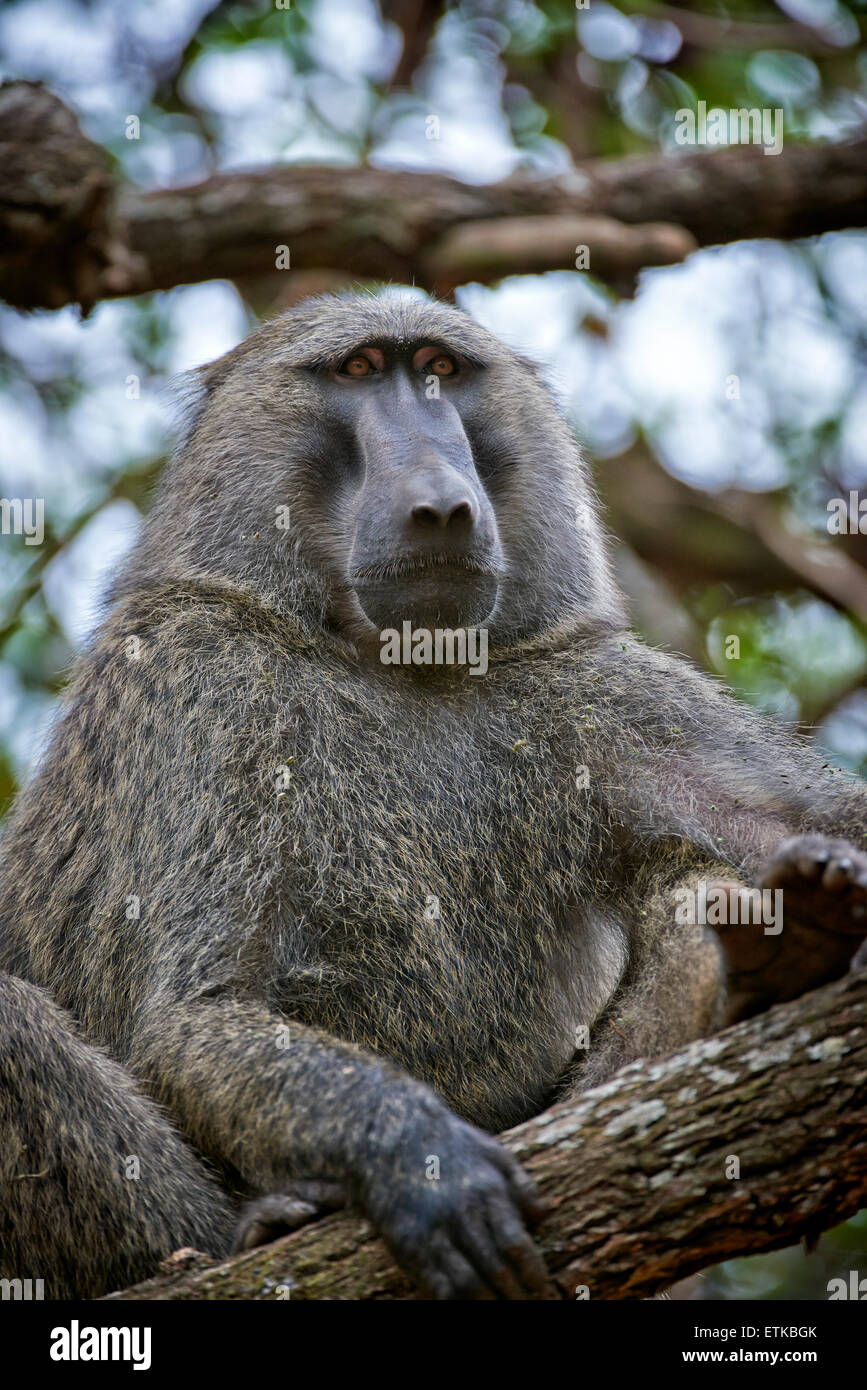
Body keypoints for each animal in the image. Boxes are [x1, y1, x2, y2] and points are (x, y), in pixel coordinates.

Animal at [1, 291, 865, 1301]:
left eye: (442, 372)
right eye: (360, 369)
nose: (444, 506)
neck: (394, 660)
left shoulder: (592, 685)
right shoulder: (197, 679)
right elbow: (196, 1016)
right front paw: (419, 1159)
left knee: (693, 883)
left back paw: (784, 956)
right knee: (15, 1020)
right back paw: (247, 1231)